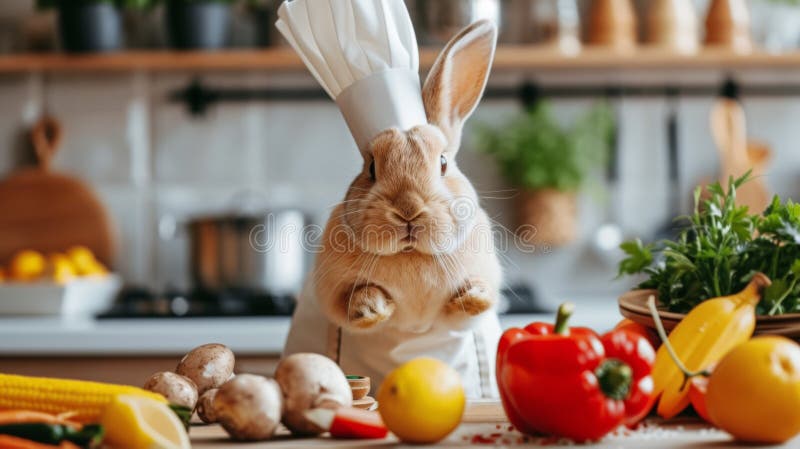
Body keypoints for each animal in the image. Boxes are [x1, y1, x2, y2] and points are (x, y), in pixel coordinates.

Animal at [310, 20, 502, 336]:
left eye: (443, 163)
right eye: (371, 168)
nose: (408, 209)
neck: (410, 254)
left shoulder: (460, 321)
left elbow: (471, 304)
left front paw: (476, 295)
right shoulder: (333, 295)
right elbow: (352, 302)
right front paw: (371, 308)